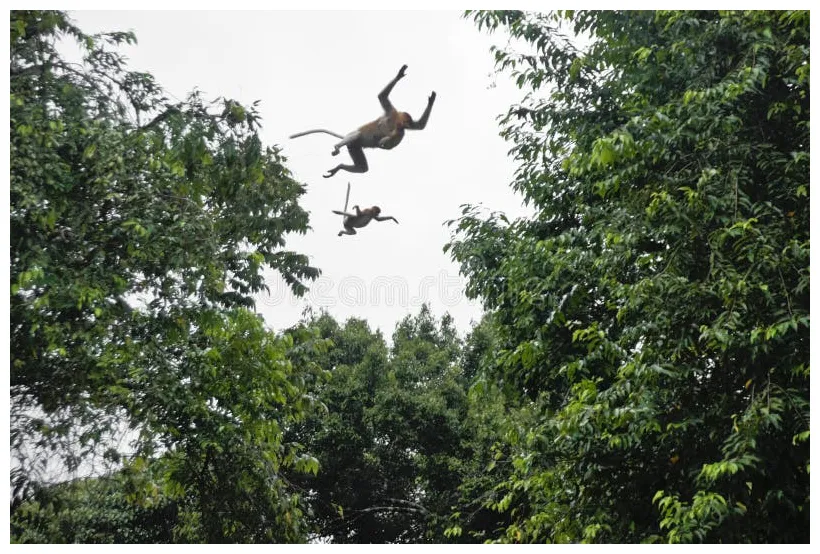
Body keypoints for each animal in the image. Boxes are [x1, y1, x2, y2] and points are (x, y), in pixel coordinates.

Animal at [289, 64, 436, 178]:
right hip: (353, 141)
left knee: (363, 167)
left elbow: (419, 126)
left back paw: (339, 167)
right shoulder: (391, 112)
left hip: (354, 147)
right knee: (357, 135)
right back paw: (337, 146)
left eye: (408, 121)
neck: (396, 122)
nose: (406, 124)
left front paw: (431, 100)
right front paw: (400, 74)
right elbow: (382, 96)